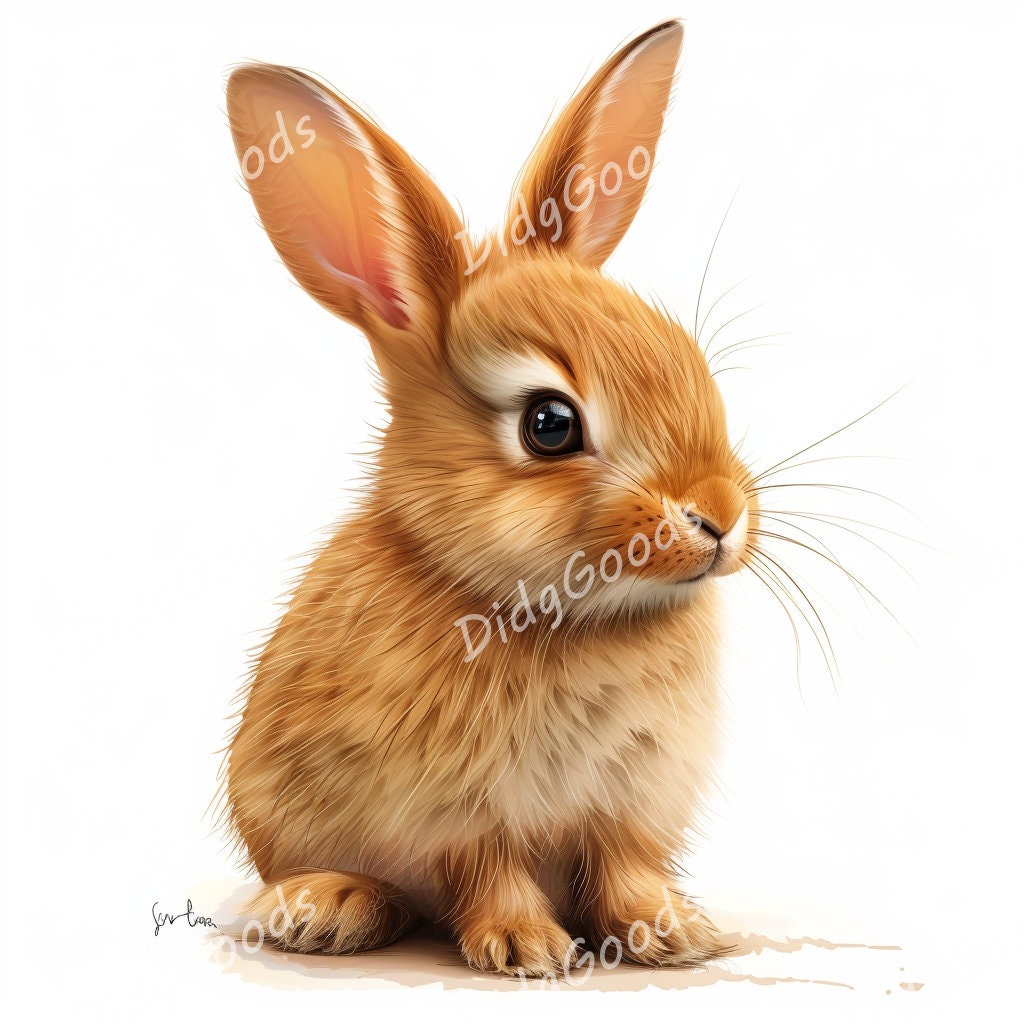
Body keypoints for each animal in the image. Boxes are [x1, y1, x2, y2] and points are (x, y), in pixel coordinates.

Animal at [222, 19, 757, 977]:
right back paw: (325, 907)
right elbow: (488, 870)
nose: (720, 517)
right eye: (550, 425)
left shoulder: (627, 806)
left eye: (690, 361)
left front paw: (672, 933)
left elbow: (624, 868)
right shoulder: (459, 812)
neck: (566, 618)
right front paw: (527, 947)